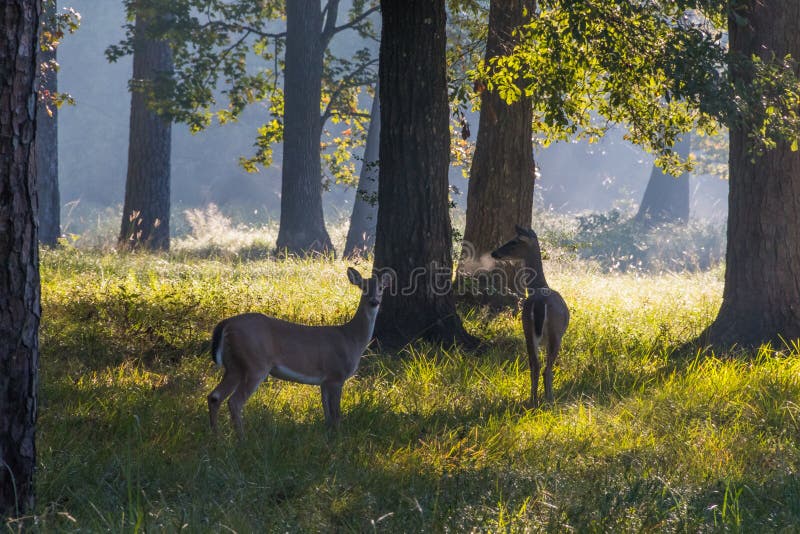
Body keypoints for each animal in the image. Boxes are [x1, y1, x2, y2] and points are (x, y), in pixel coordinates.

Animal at [207, 267, 391, 436]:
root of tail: (226, 324)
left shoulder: (325, 380)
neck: (351, 339)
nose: (374, 302)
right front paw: (339, 438)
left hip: (234, 366)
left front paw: (328, 436)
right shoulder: (336, 375)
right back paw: (242, 439)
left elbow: (327, 414)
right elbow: (337, 415)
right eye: (363, 287)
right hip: (255, 364)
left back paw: (217, 436)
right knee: (234, 401)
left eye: (381, 287)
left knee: (214, 396)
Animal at [491, 226, 569, 408]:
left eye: (514, 241)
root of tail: (539, 302)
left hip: (526, 328)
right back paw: (549, 400)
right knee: (546, 368)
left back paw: (532, 400)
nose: (494, 253)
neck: (538, 286)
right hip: (555, 333)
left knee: (534, 365)